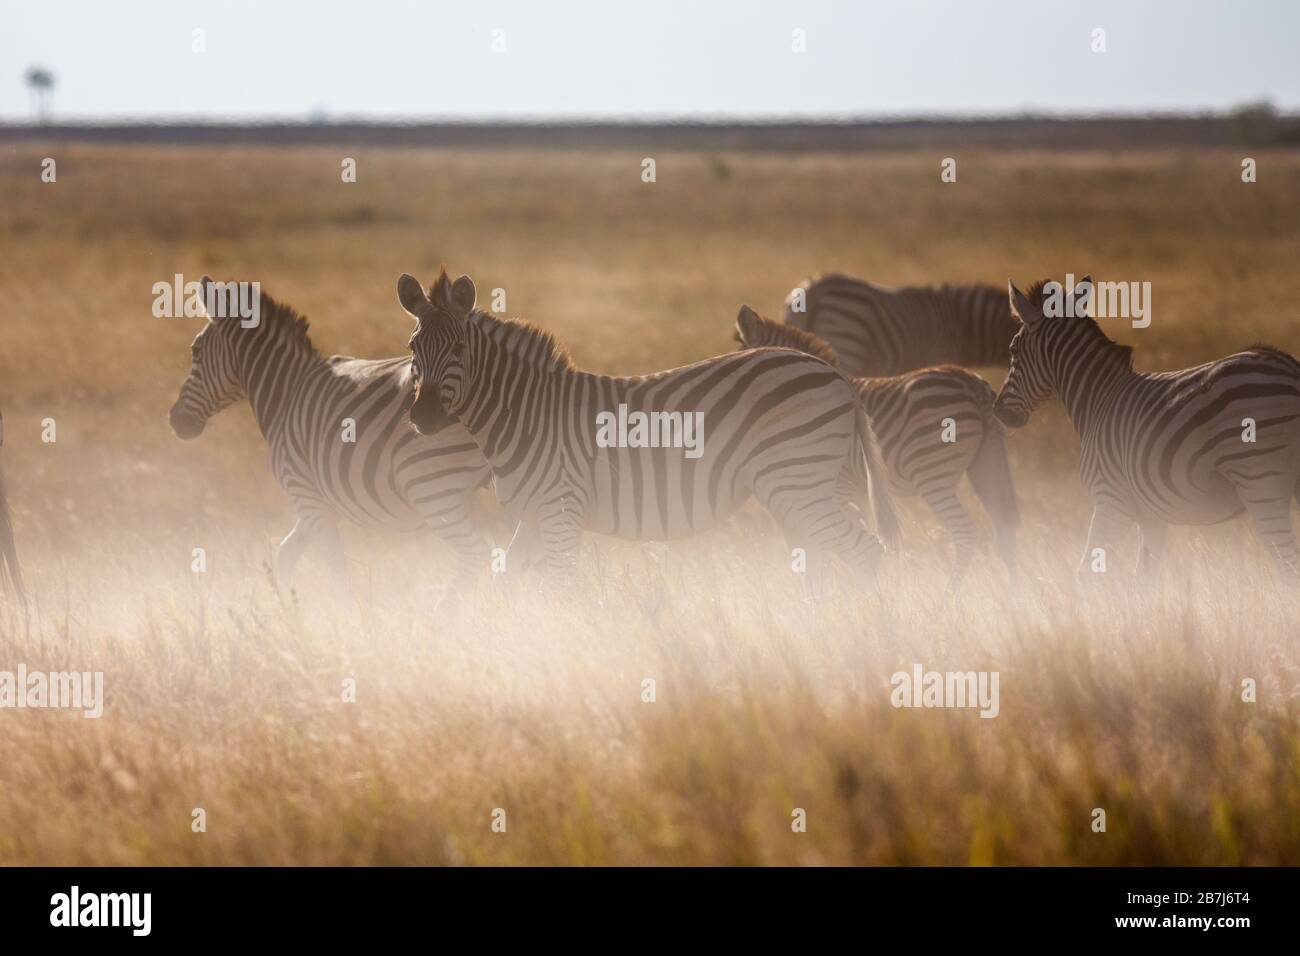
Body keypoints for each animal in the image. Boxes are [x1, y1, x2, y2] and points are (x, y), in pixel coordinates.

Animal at [168, 277, 494, 597]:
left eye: (195, 350)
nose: (174, 420)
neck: (286, 391)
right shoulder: (320, 501)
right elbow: (285, 557)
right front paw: (289, 607)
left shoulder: (305, 494)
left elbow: (337, 574)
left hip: (431, 488)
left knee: (475, 553)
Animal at [395, 269, 898, 581]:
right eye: (413, 346)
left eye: (459, 348)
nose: (422, 416)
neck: (525, 412)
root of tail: (836, 374)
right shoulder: (531, 516)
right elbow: (512, 583)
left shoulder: (560, 512)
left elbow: (558, 590)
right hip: (804, 488)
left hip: (799, 483)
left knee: (866, 553)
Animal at [736, 305, 1018, 584]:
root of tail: (971, 382)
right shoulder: (854, 490)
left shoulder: (836, 487)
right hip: (986, 462)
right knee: (1004, 530)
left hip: (932, 474)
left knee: (965, 532)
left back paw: (950, 593)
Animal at [995, 276, 1300, 584]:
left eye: (1012, 350)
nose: (998, 411)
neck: (1098, 400)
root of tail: (1289, 367)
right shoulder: (1151, 517)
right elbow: (1144, 579)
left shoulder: (1110, 501)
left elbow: (1087, 573)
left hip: (1260, 480)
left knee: (1289, 568)